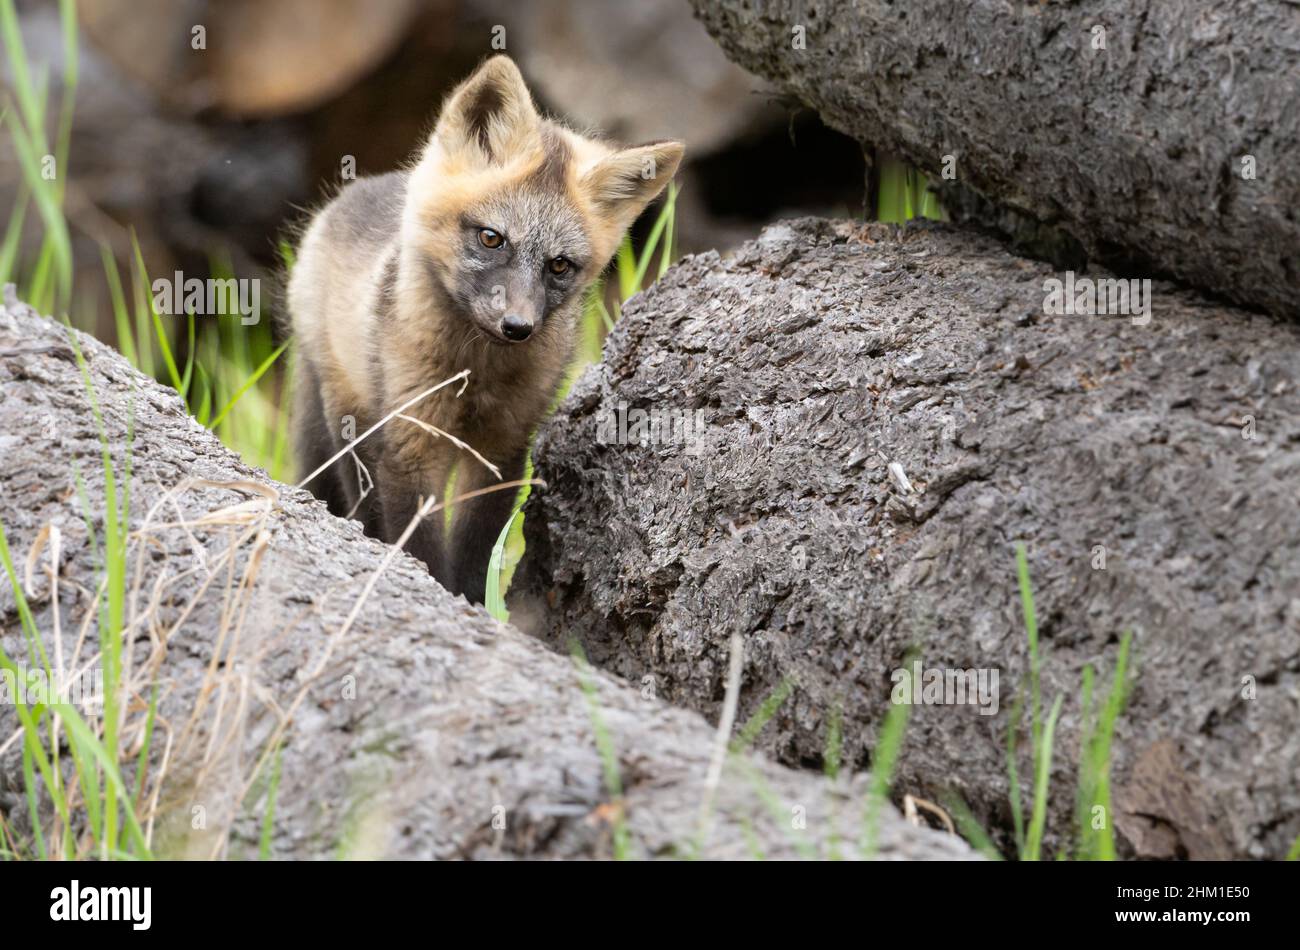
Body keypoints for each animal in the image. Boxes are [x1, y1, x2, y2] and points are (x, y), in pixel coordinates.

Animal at [288, 56, 683, 604]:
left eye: (559, 266)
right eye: (492, 239)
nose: (517, 326)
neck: (476, 371)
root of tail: (363, 188)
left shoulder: (503, 447)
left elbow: (478, 546)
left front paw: (475, 603)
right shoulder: (411, 444)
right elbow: (420, 545)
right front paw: (428, 588)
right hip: (345, 408)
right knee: (352, 491)